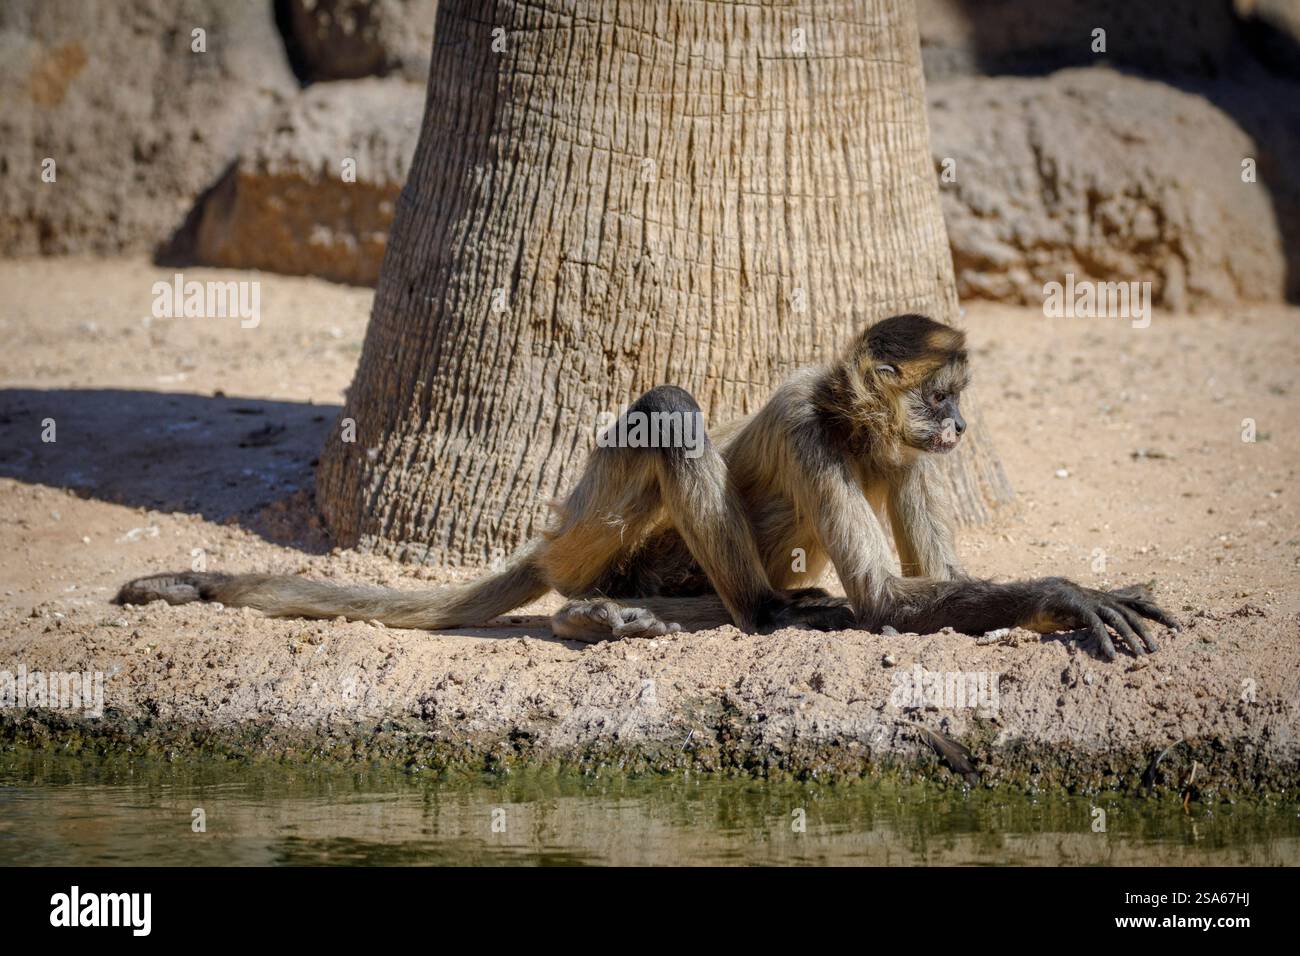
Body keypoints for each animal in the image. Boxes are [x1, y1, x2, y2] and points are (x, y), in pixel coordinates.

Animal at [118, 313, 1178, 660]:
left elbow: (933, 582)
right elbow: (882, 600)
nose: (958, 429)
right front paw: (1065, 594)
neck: (850, 421)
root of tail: (552, 542)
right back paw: (757, 613)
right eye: (946, 397)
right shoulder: (810, 425)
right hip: (601, 524)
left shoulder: (906, 454)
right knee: (669, 405)